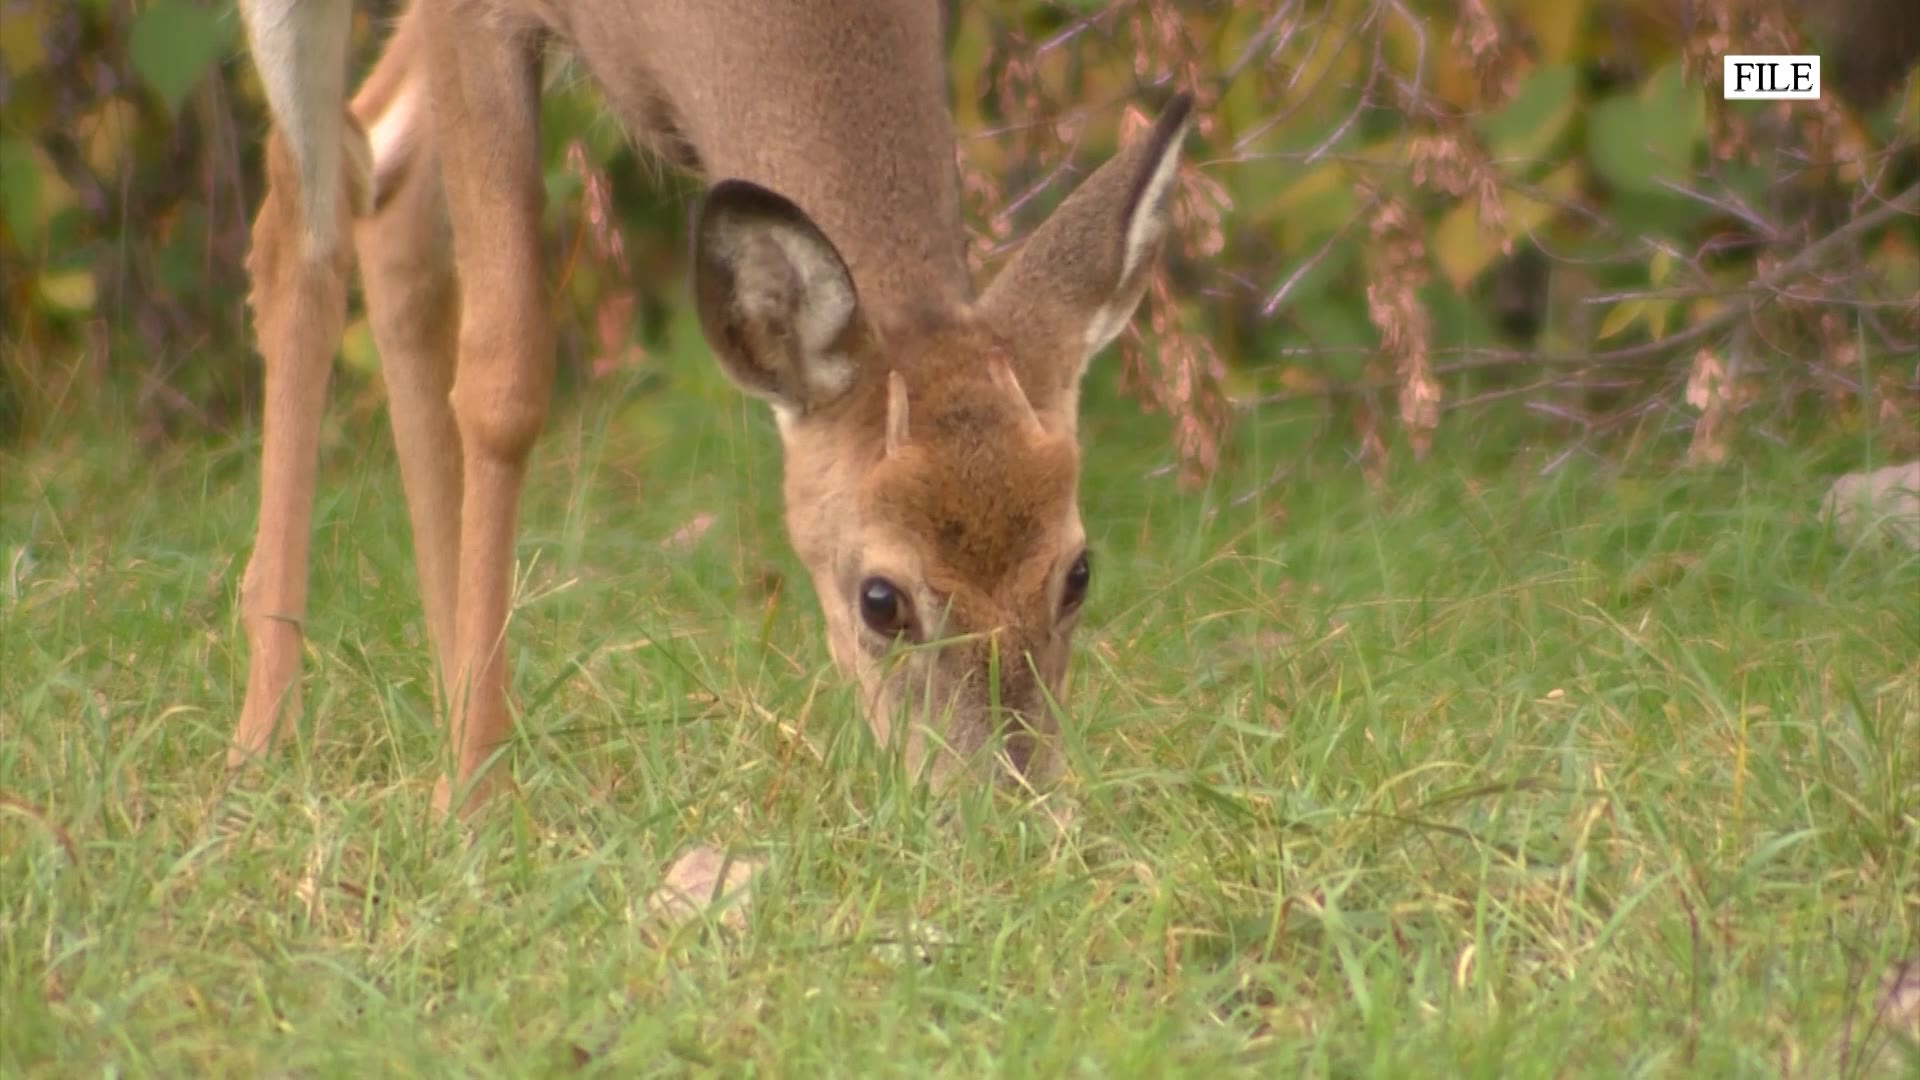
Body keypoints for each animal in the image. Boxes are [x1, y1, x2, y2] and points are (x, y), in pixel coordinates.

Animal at [226, 0, 1195, 817]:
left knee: (379, 185)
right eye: (880, 600)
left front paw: (468, 754)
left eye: (1078, 573)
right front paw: (474, 803)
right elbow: (506, 377)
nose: (1004, 806)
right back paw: (264, 742)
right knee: (305, 205)